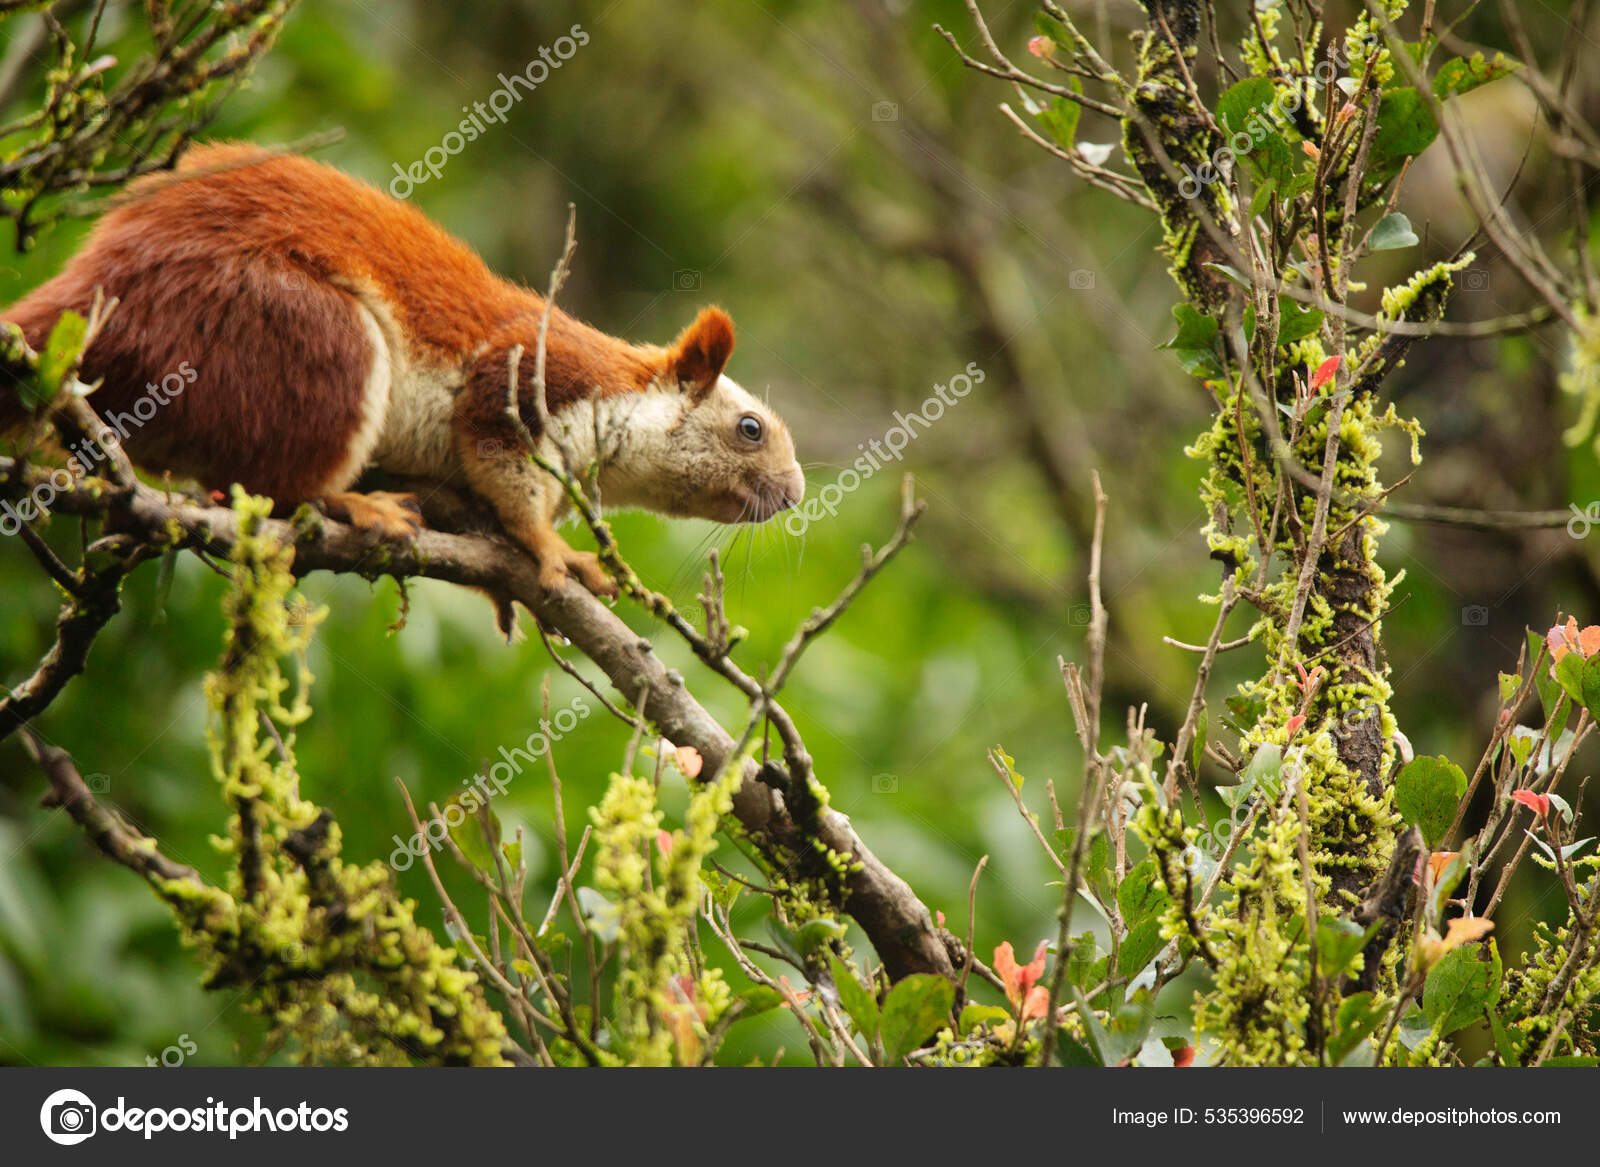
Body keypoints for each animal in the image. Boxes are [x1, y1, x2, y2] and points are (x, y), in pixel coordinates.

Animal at [0, 142, 805, 597]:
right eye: (750, 428)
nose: (796, 495)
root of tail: (100, 284)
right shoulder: (525, 378)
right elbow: (503, 462)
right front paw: (551, 551)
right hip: (304, 333)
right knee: (281, 482)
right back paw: (353, 506)